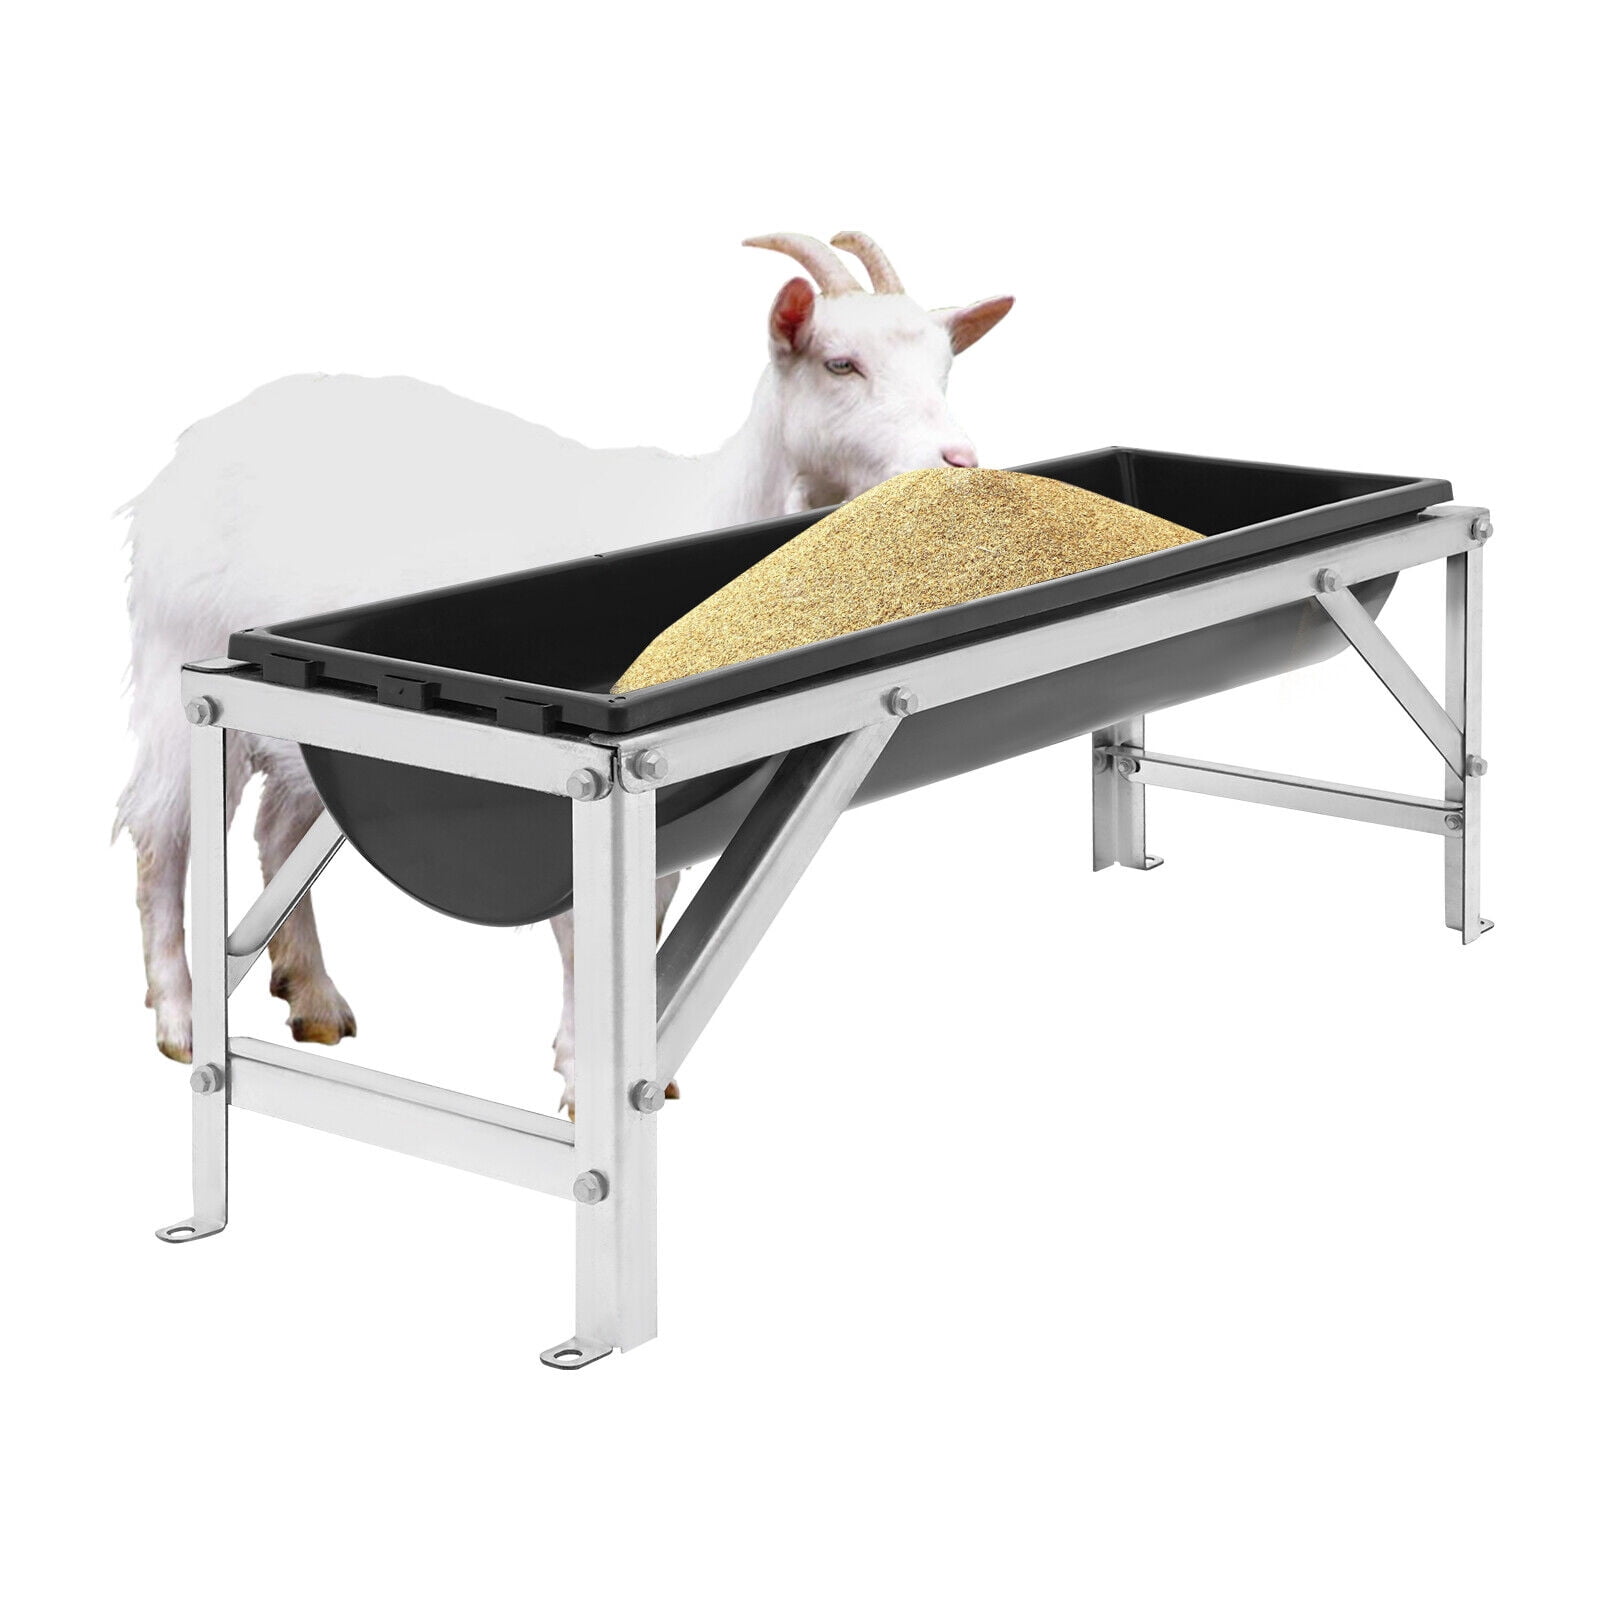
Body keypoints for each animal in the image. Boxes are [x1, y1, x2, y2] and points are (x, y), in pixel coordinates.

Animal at [117, 230, 1013, 1113]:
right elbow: (585, 931)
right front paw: (586, 1075)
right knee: (163, 829)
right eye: (839, 363)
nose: (958, 465)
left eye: (945, 369)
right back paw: (180, 1018)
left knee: (275, 829)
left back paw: (312, 999)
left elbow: (649, 912)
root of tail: (200, 439)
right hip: (175, 660)